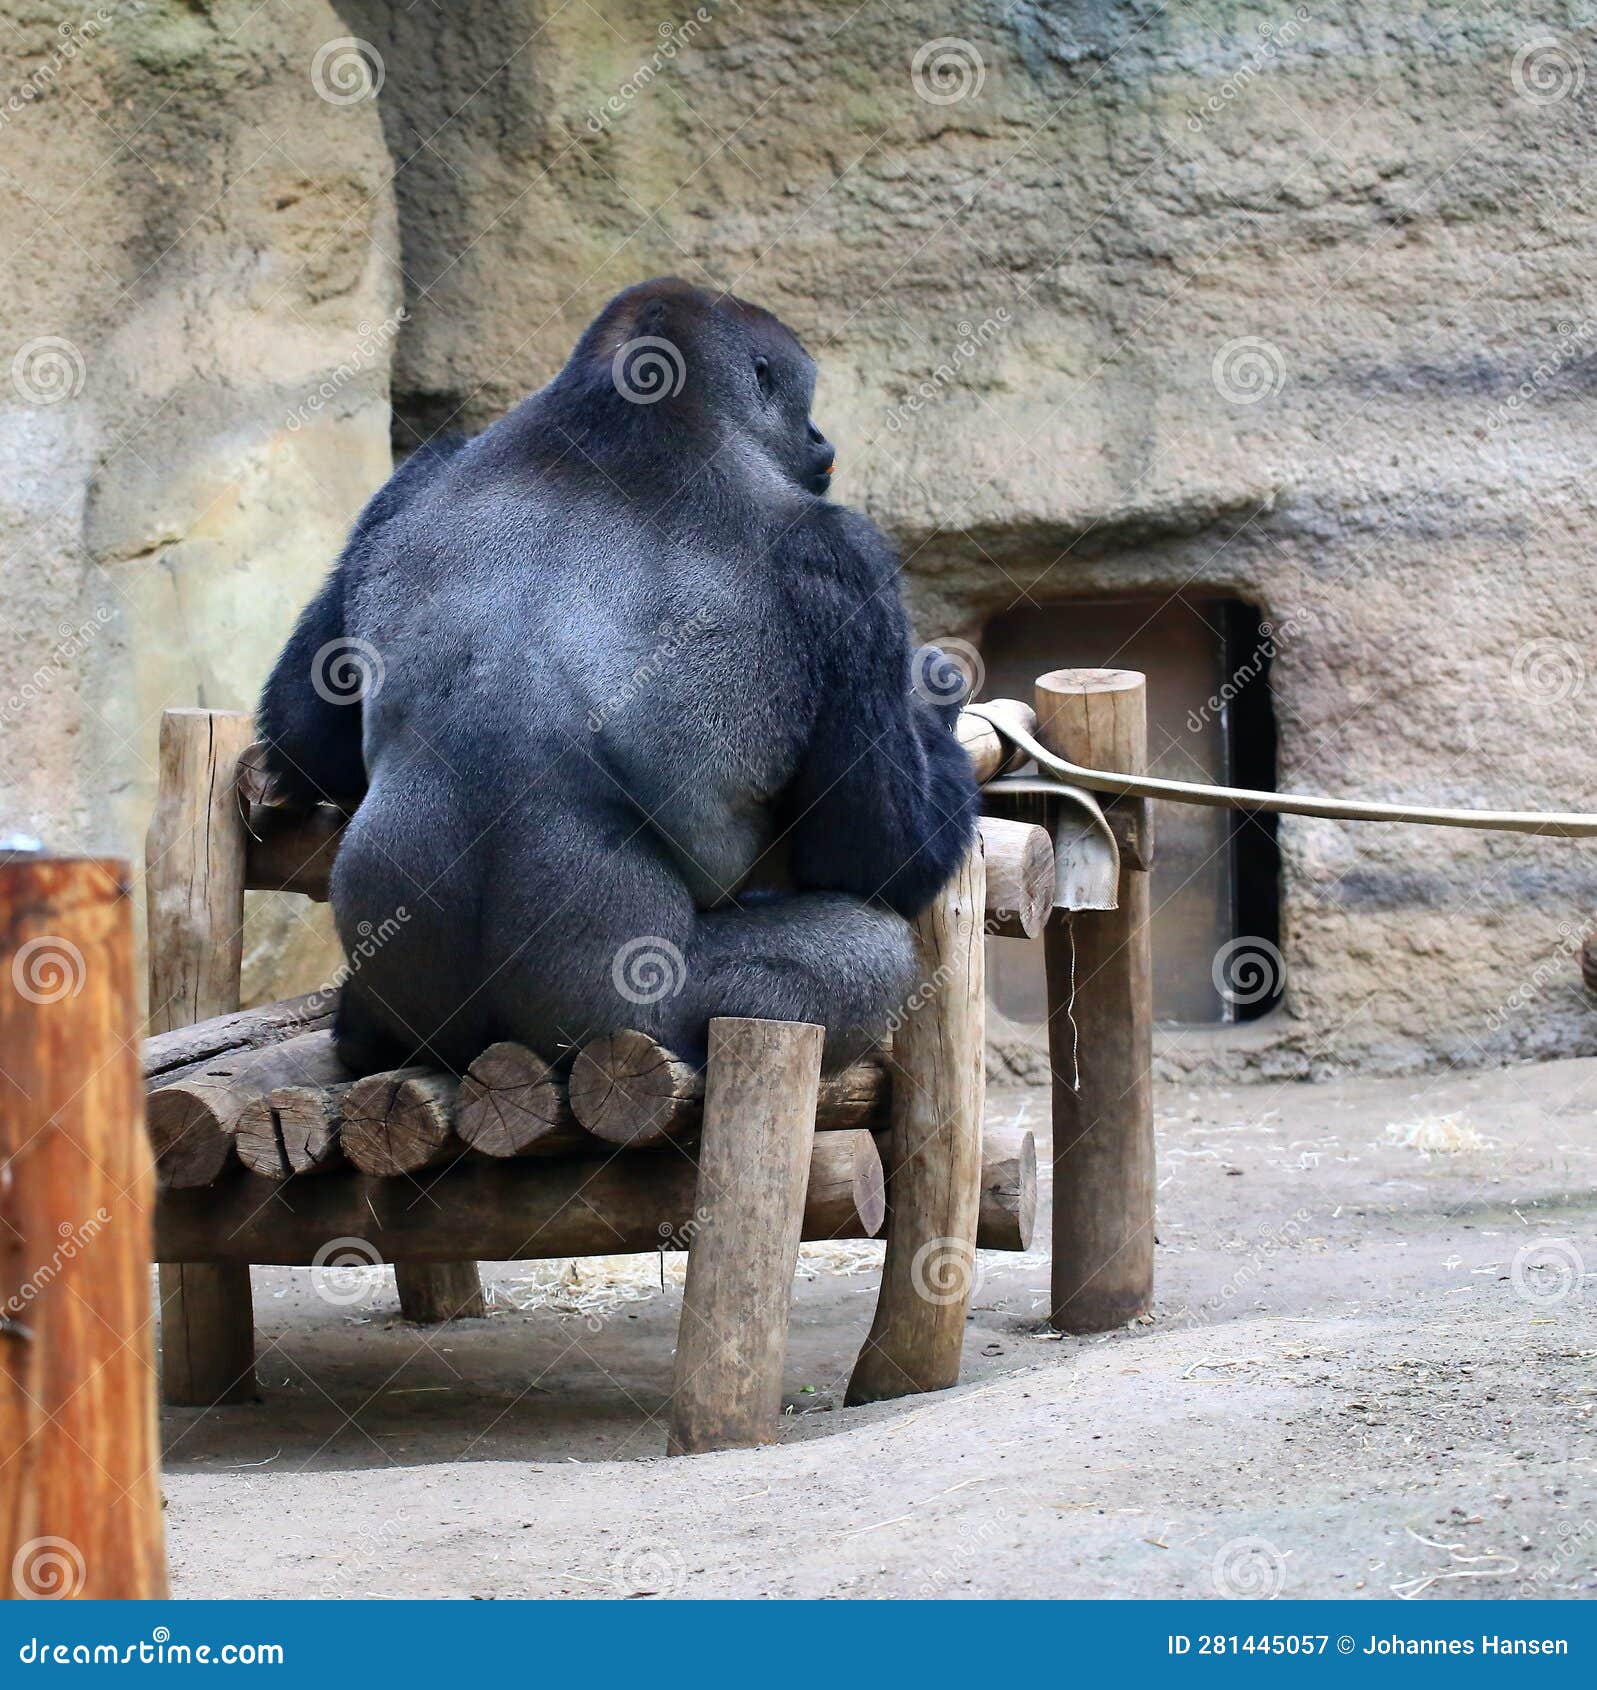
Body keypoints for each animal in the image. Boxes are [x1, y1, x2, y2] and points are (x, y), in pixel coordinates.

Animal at [256, 277, 980, 1074]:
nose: (822, 440)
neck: (623, 420)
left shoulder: (420, 468)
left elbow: (303, 738)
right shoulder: (841, 555)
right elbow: (883, 854)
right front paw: (937, 694)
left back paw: (359, 1034)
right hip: (626, 1017)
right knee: (867, 949)